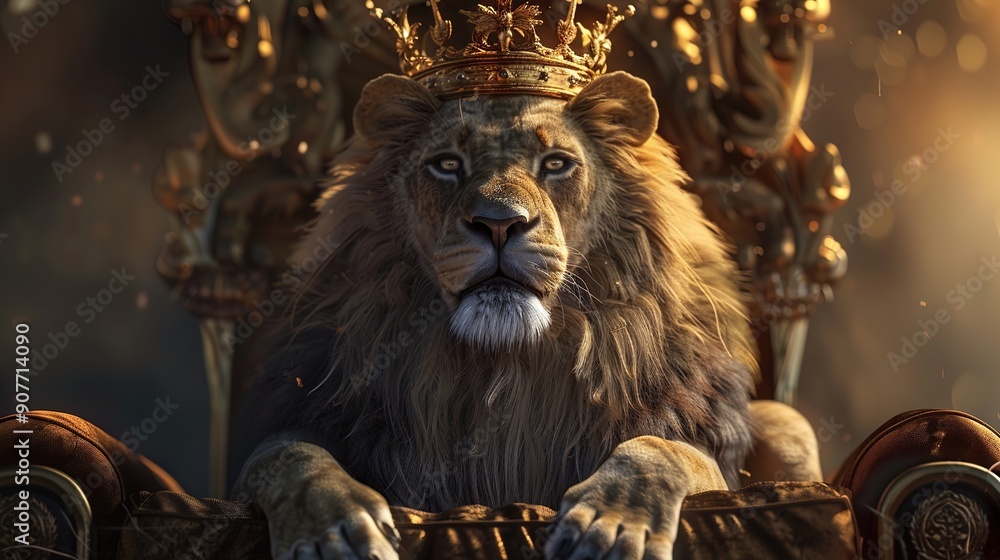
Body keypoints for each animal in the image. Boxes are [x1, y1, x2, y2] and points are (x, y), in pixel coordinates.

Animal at [233, 71, 822, 560]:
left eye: (556, 163)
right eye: (447, 164)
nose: (499, 223)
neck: (506, 364)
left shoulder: (707, 450)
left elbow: (659, 449)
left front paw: (609, 525)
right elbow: (289, 454)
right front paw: (334, 529)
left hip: (782, 419)